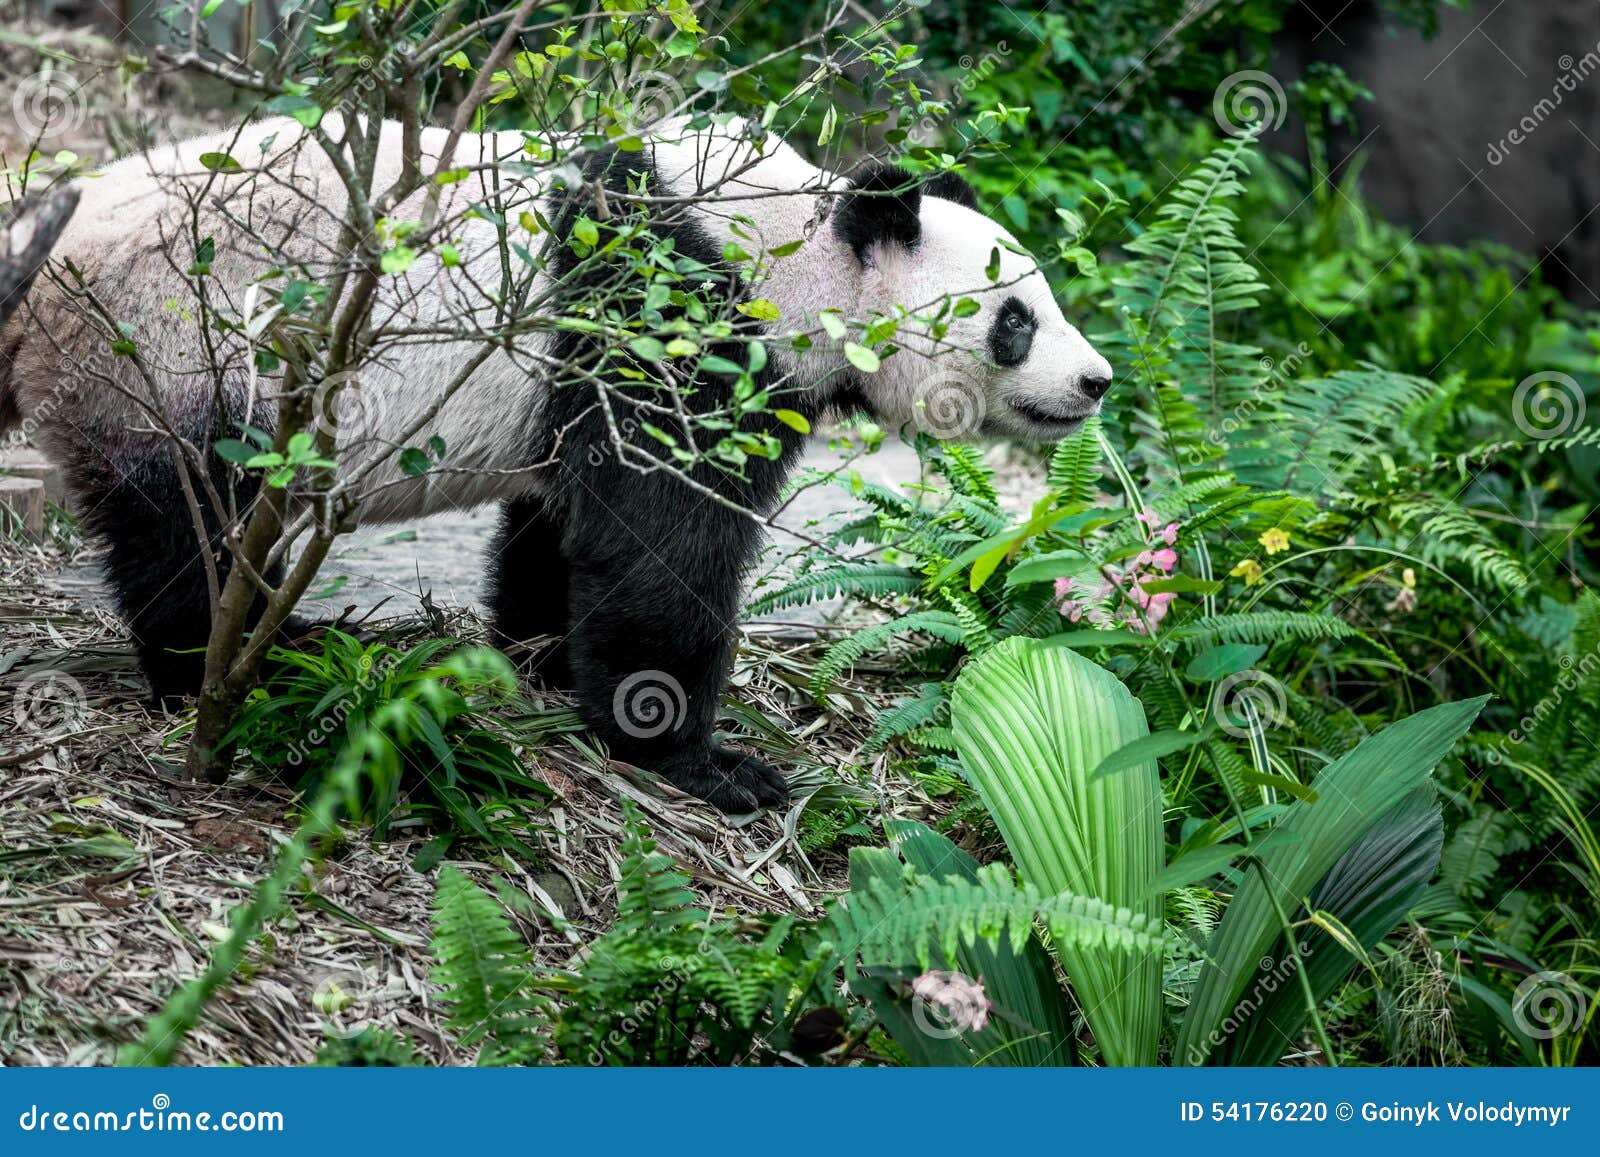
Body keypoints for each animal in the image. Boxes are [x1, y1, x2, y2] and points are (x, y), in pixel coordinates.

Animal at [0, 117, 1113, 812]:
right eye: (1017, 318)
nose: (1096, 380)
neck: (789, 256)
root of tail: (49, 246)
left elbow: (566, 524)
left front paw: (539, 660)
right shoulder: (673, 322)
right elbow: (662, 544)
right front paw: (702, 760)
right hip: (170, 346)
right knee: (189, 522)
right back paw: (236, 665)